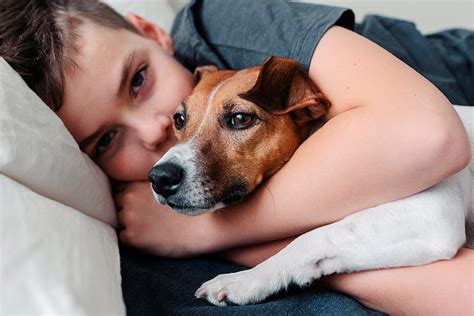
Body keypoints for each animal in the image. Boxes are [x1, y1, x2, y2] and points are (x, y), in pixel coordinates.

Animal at [147, 56, 470, 306]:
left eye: (240, 119)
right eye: (179, 119)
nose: (160, 177)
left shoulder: (432, 213)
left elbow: (314, 237)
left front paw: (246, 280)